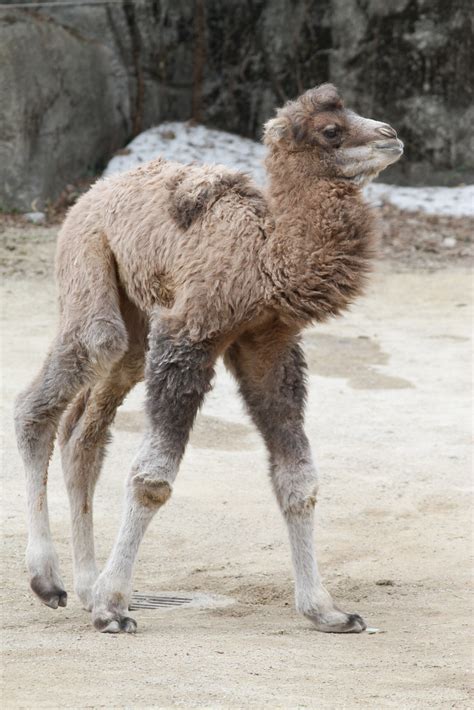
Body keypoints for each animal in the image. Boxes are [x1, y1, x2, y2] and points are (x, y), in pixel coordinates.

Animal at [15, 84, 403, 634]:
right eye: (332, 130)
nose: (391, 135)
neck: (265, 260)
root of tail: (89, 194)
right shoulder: (189, 333)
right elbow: (153, 480)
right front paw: (114, 607)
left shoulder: (268, 344)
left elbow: (298, 479)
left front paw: (326, 610)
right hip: (88, 264)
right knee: (54, 387)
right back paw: (50, 583)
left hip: (136, 324)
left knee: (83, 435)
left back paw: (85, 585)